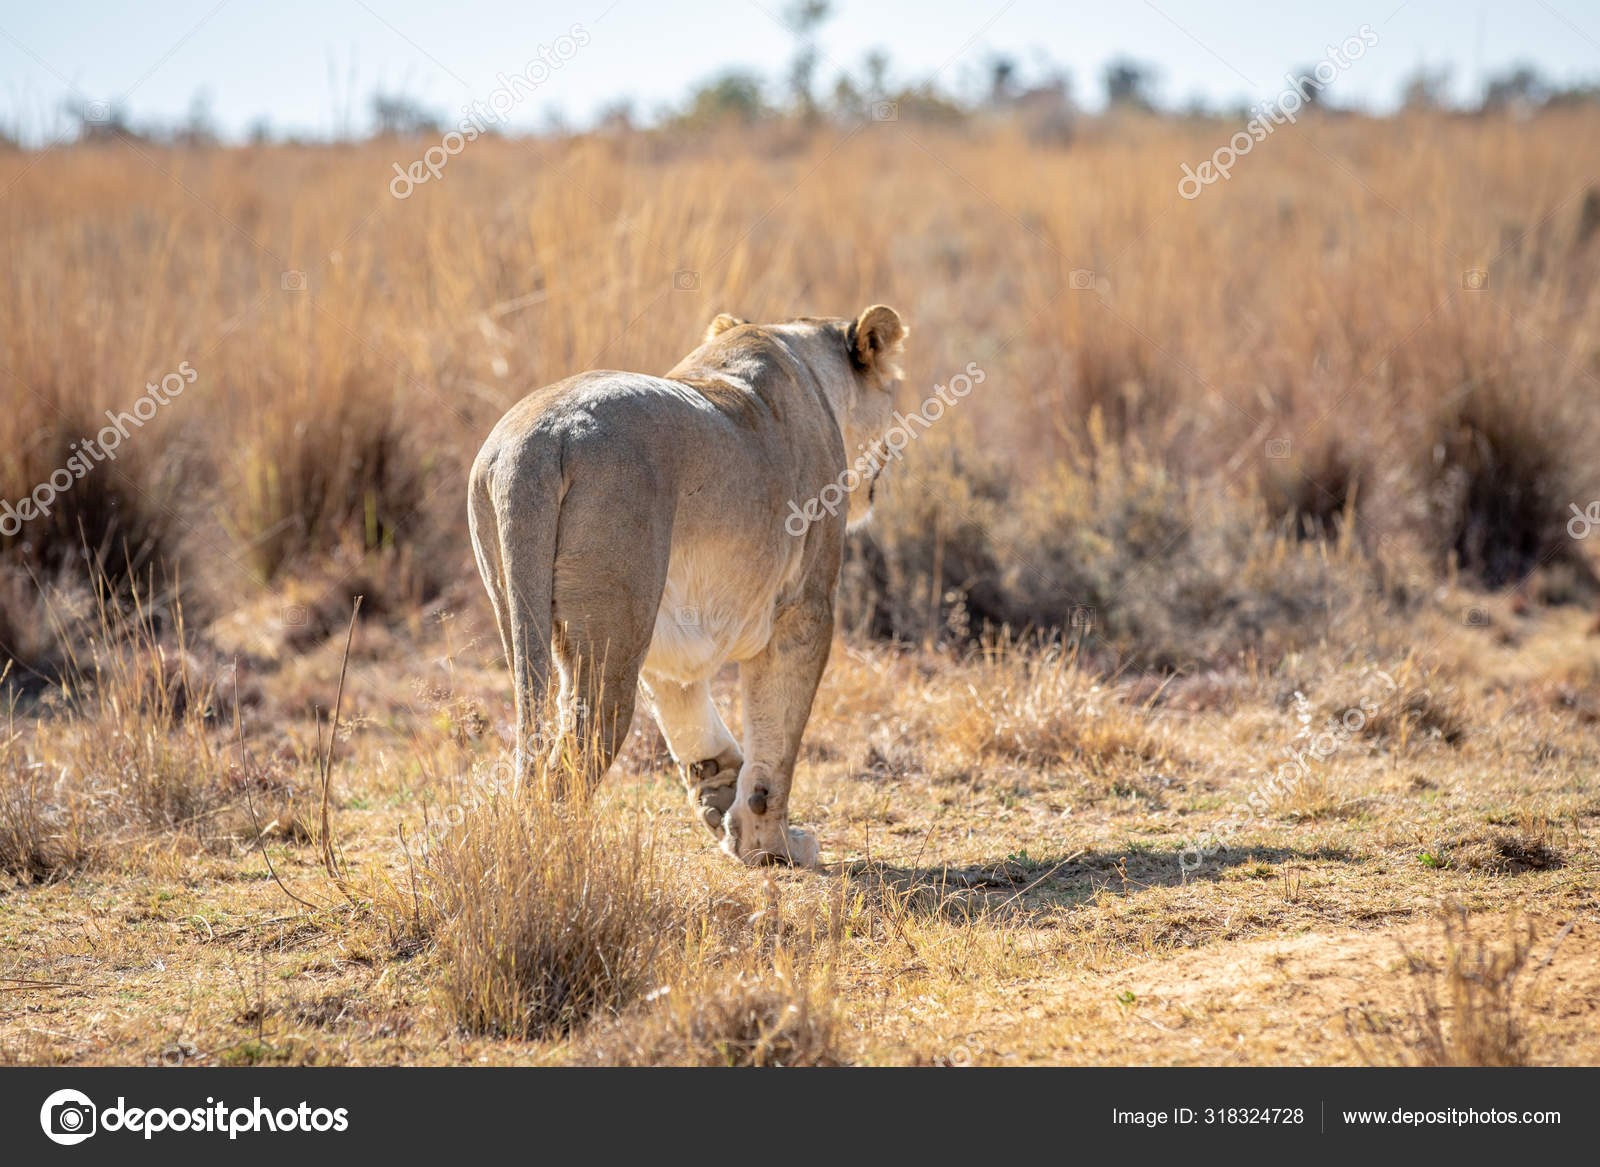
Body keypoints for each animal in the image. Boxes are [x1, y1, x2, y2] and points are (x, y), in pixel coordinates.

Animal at [468, 304, 908, 865]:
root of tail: (536, 443)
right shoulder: (805, 606)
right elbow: (778, 740)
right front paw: (773, 845)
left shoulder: (667, 618)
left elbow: (687, 708)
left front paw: (720, 795)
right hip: (612, 635)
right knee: (572, 759)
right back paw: (559, 860)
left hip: (524, 604)